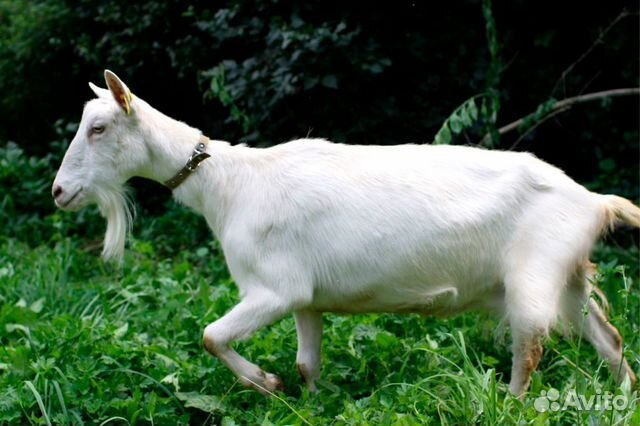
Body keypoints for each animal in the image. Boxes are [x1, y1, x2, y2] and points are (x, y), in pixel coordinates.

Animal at [53, 70, 639, 396]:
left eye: (99, 127)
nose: (60, 191)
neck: (229, 183)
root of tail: (593, 201)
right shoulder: (307, 299)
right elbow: (306, 363)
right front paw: (306, 401)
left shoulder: (275, 289)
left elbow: (210, 335)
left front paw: (265, 384)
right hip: (569, 276)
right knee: (608, 337)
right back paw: (624, 396)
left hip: (532, 274)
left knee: (530, 346)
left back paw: (512, 405)